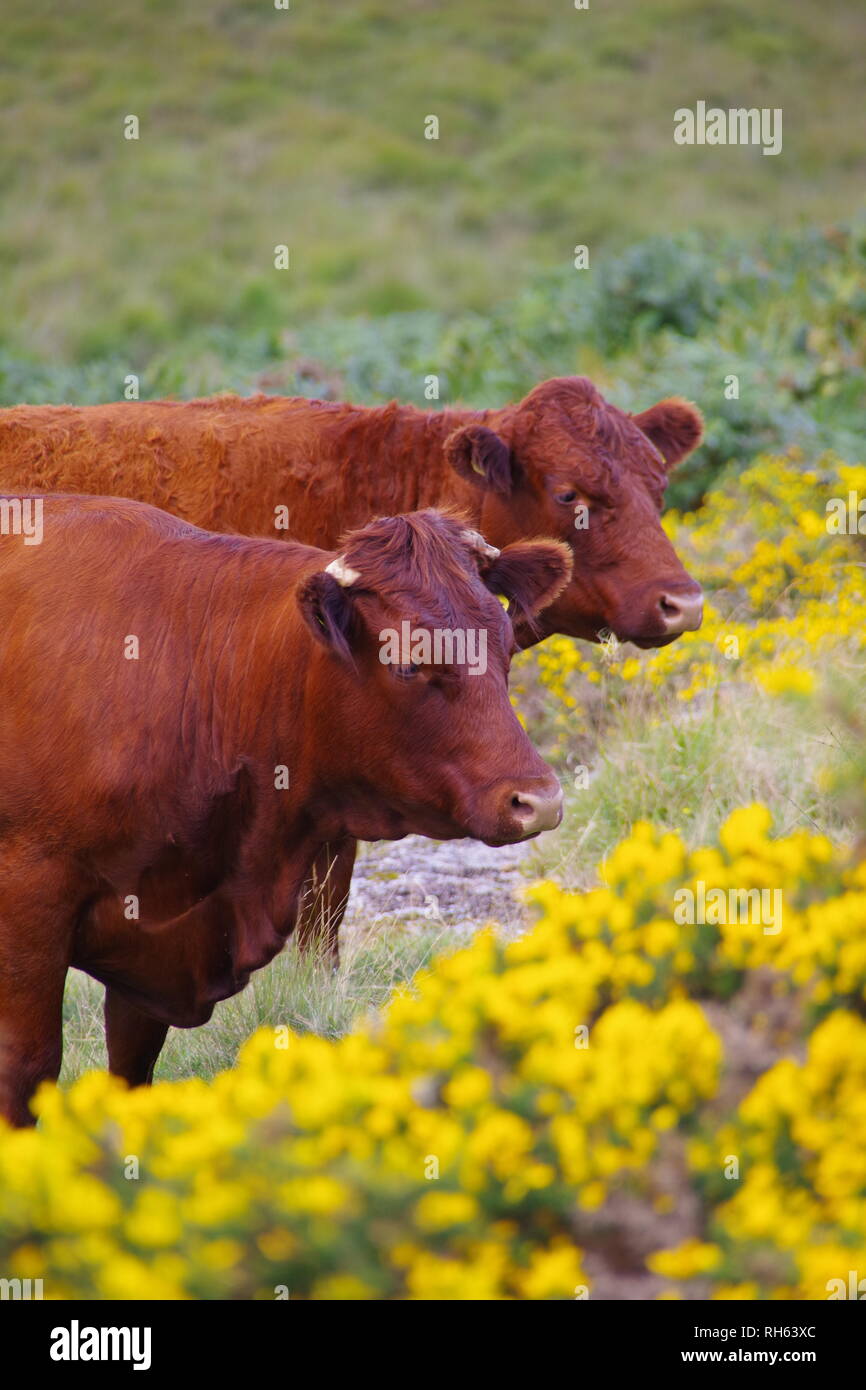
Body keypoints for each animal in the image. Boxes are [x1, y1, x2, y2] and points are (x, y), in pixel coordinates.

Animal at [0, 496, 569, 1126]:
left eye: (507, 646)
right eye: (406, 663)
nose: (538, 801)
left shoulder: (151, 933)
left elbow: (131, 1066)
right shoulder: (30, 902)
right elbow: (27, 1067)